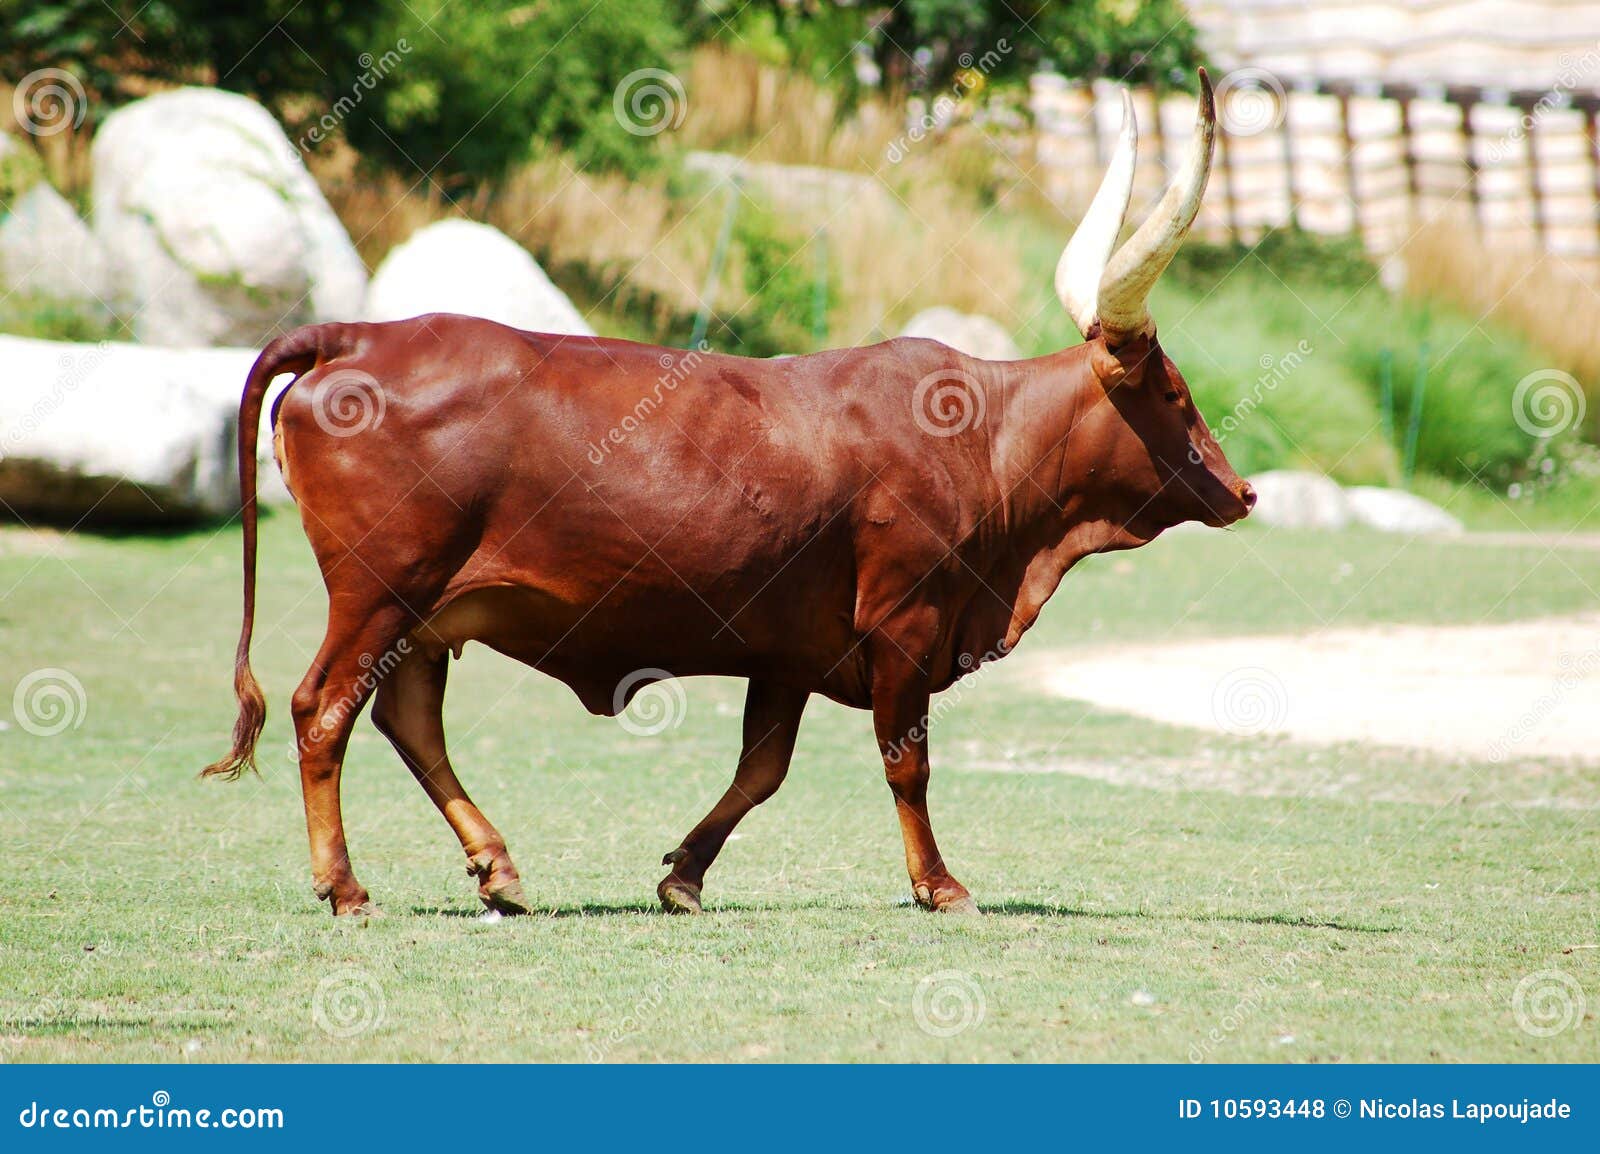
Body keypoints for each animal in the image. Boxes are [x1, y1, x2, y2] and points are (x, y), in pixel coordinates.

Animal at [203, 70, 1253, 918]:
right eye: (1174, 393)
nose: (1242, 488)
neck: (985, 443)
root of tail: (356, 334)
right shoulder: (906, 623)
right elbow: (905, 763)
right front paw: (940, 886)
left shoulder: (788, 649)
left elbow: (763, 771)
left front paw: (684, 875)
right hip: (378, 591)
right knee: (322, 712)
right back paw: (346, 888)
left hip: (426, 613)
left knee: (409, 720)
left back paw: (498, 871)